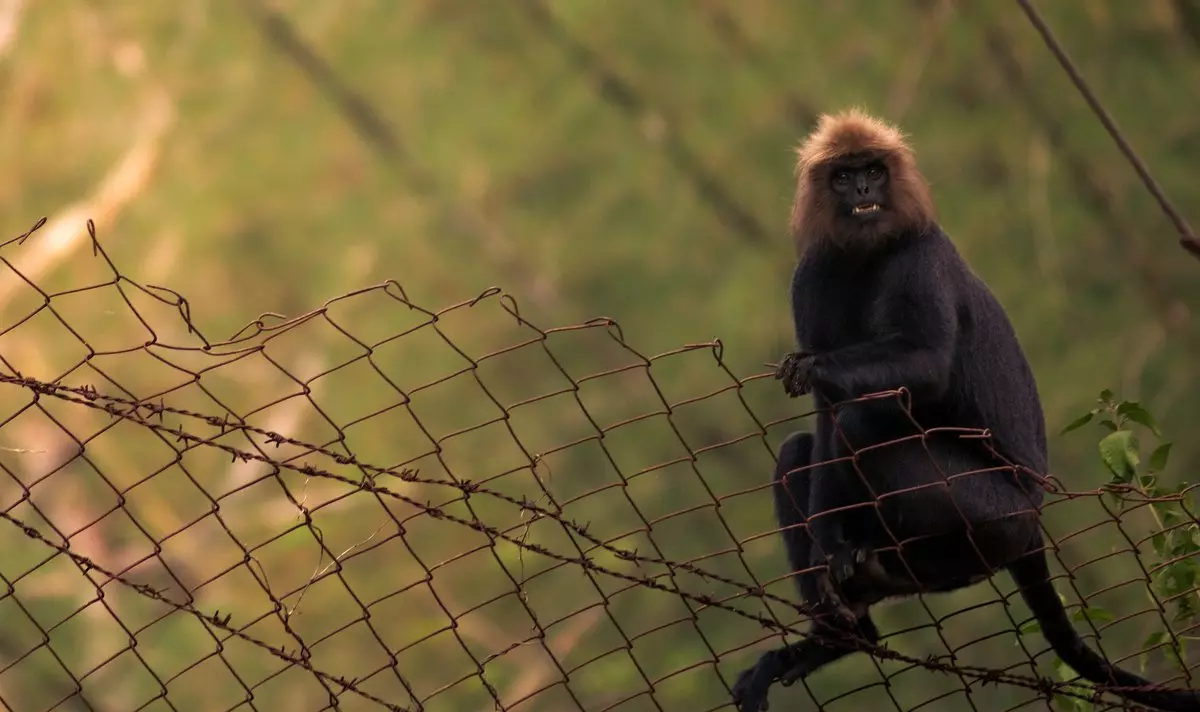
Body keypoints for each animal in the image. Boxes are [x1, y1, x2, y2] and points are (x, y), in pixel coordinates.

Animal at [724, 109, 1200, 710]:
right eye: (843, 176)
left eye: (873, 171)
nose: (862, 191)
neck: (867, 255)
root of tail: (1034, 518)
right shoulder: (814, 269)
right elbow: (822, 415)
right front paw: (832, 556)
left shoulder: (919, 253)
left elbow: (921, 365)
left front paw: (812, 370)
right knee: (800, 447)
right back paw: (843, 631)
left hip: (993, 515)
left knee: (863, 421)